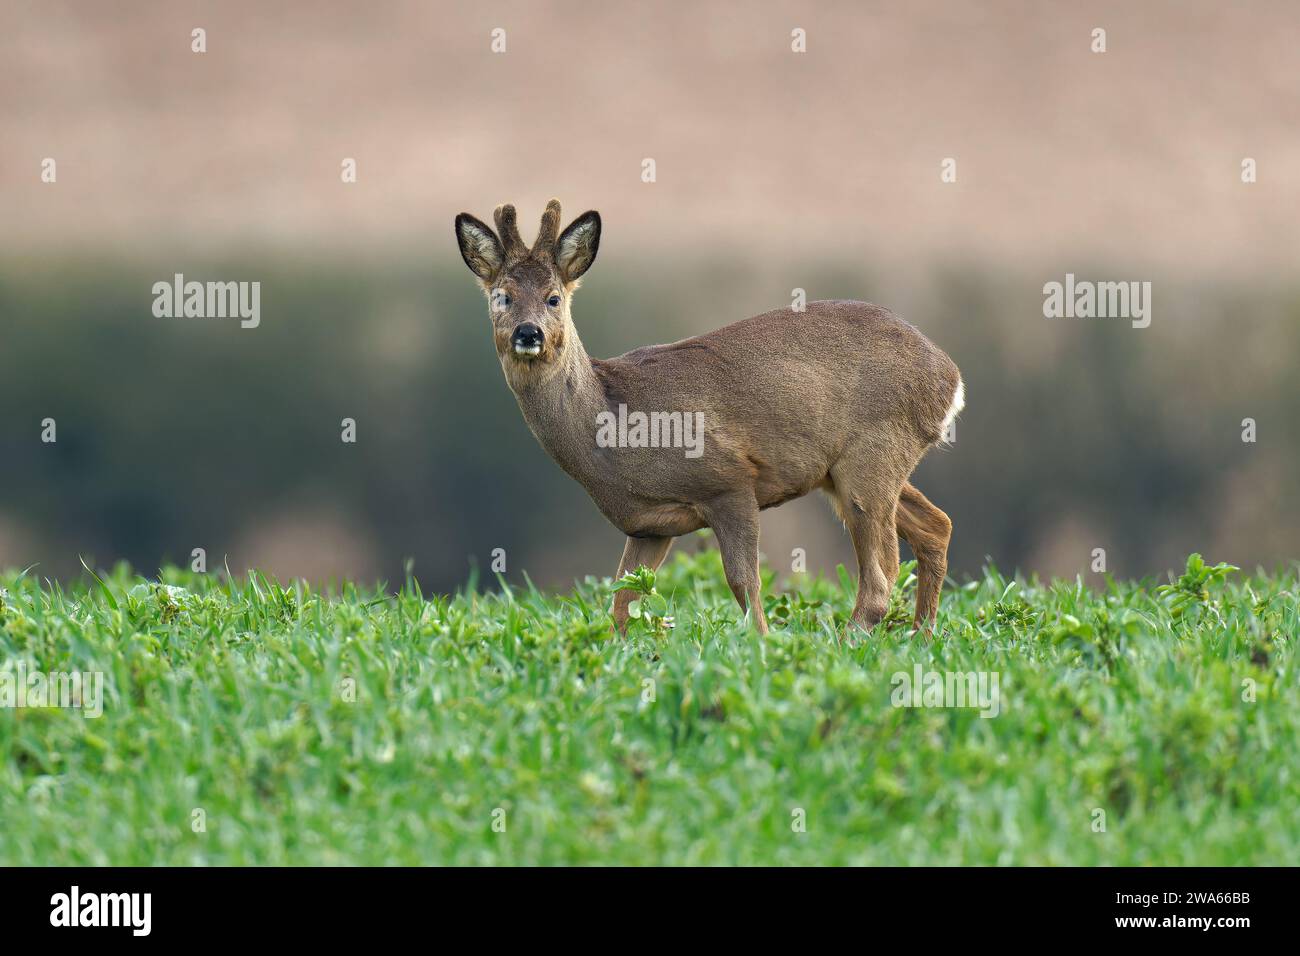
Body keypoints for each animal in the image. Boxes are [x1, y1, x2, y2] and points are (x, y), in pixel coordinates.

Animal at [454, 200, 963, 636]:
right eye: (502, 297)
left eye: (554, 297)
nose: (529, 333)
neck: (611, 428)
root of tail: (949, 377)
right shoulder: (648, 524)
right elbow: (622, 605)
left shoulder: (728, 480)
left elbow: (744, 585)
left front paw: (762, 646)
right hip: (850, 470)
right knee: (936, 527)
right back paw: (921, 636)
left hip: (872, 455)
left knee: (880, 579)